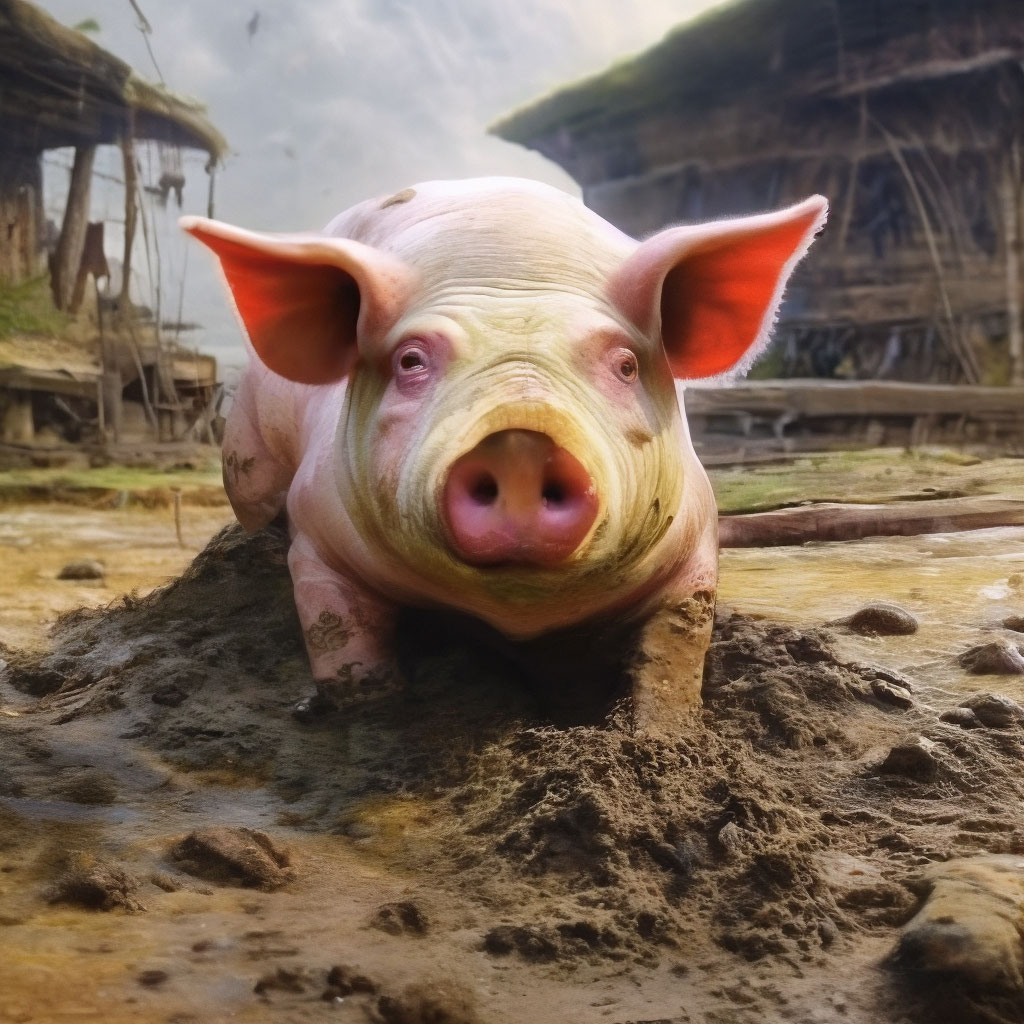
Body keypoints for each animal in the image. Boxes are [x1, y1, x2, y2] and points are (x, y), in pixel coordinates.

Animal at [183, 178, 826, 730]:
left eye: (625, 364)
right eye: (410, 360)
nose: (520, 443)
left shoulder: (693, 547)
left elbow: (674, 653)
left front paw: (664, 734)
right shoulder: (320, 538)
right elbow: (344, 645)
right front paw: (368, 719)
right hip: (247, 457)